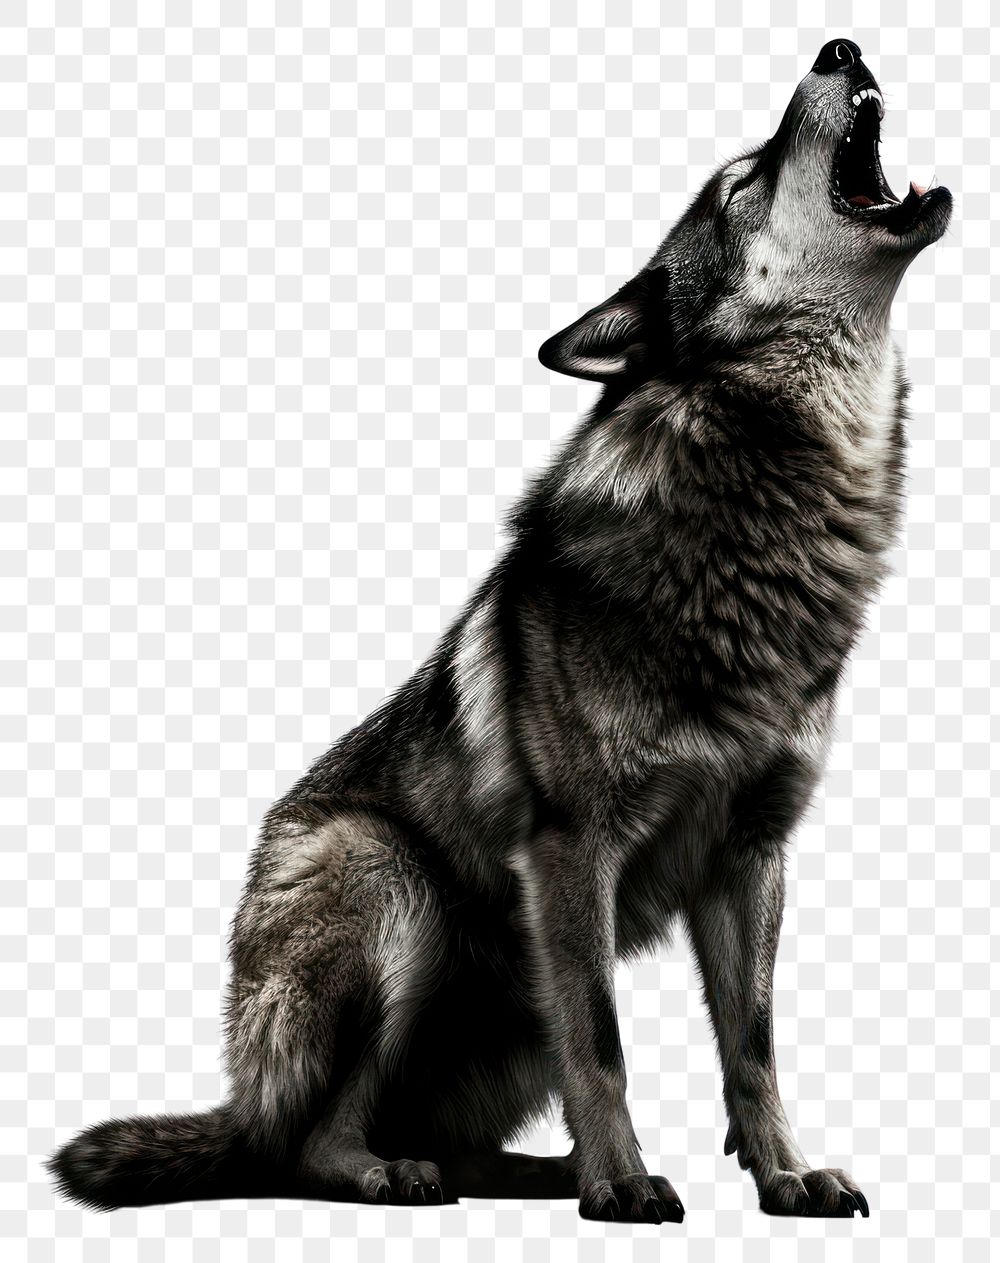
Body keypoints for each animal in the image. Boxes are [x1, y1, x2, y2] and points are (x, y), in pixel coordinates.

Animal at [49, 40, 951, 1222]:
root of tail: (242, 1101)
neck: (765, 520)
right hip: (400, 892)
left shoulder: (751, 855)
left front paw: (785, 1177)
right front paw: (626, 1187)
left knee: (451, 1131)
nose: (837, 48)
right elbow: (604, 1043)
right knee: (312, 1143)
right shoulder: (571, 847)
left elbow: (751, 1046)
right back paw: (401, 1175)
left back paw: (536, 1174)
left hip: (503, 995)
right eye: (741, 182)